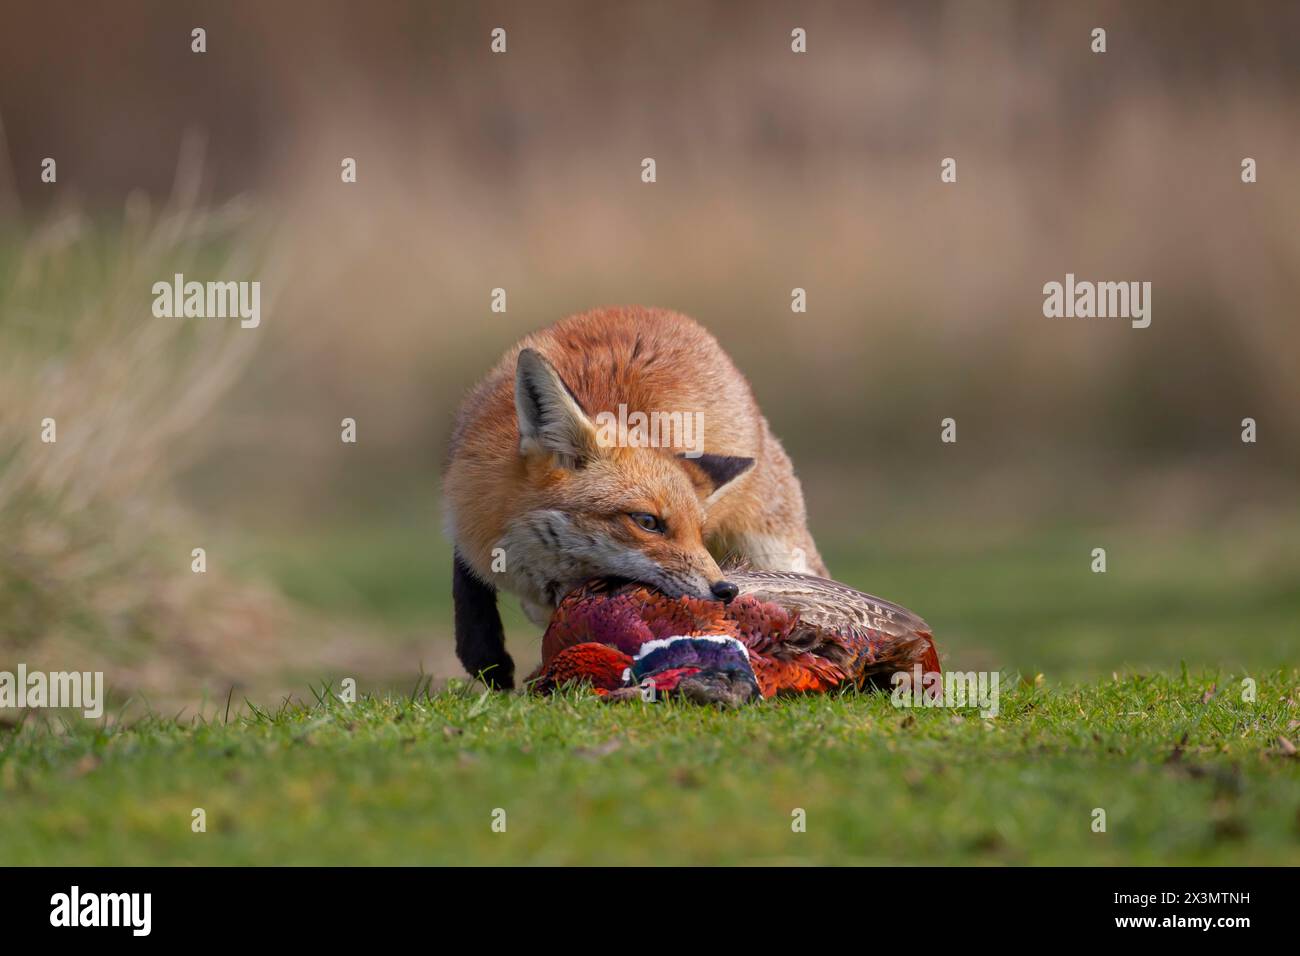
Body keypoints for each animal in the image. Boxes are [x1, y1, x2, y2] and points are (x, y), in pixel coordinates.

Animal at [443, 306, 827, 688]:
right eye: (647, 522)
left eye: (698, 532)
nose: (726, 590)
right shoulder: (465, 504)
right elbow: (467, 579)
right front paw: (486, 655)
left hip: (779, 551)